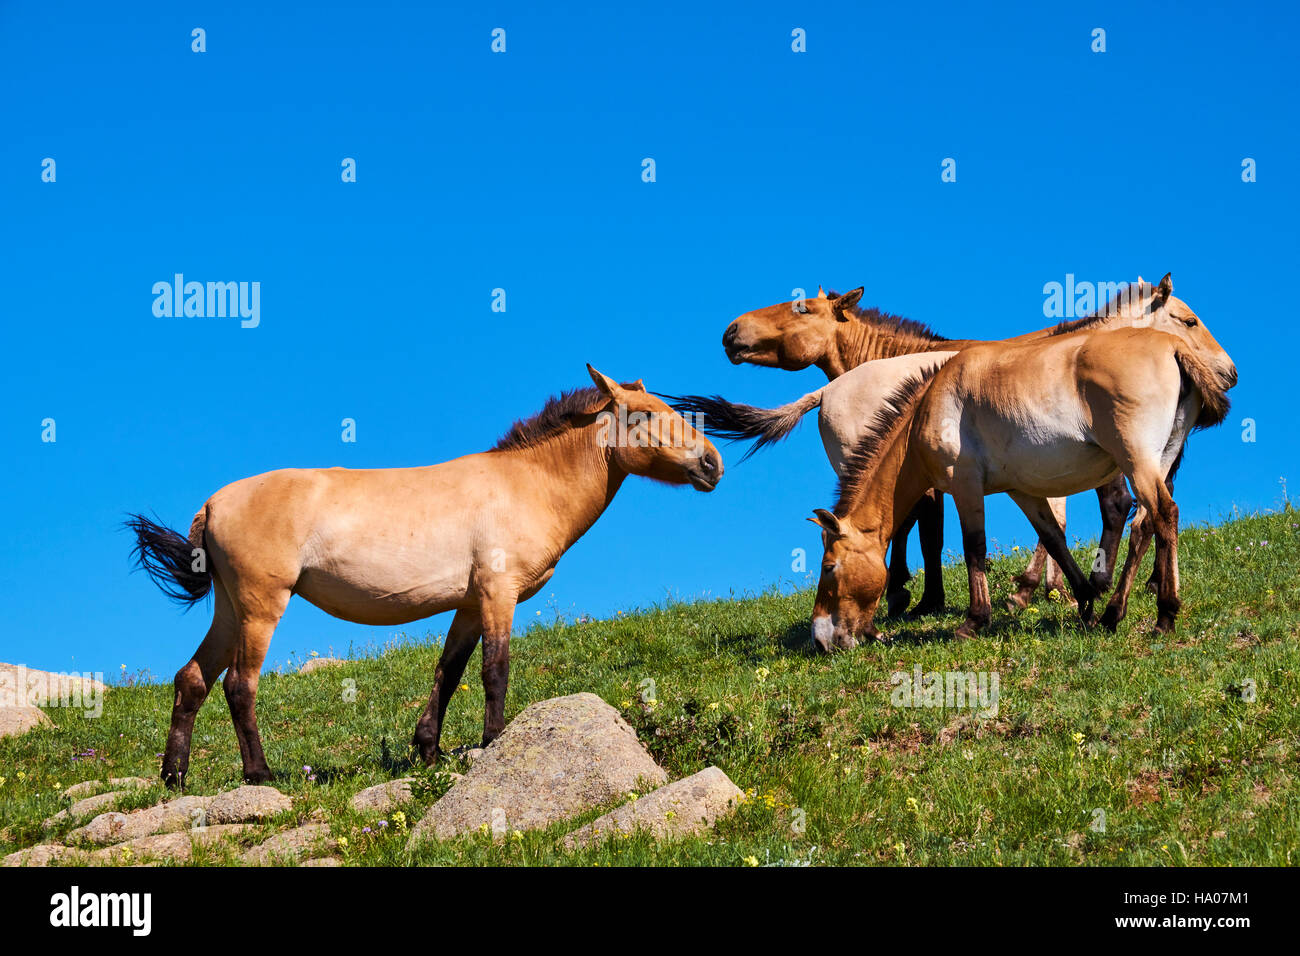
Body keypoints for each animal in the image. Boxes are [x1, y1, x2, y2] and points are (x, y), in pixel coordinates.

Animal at [127, 366, 724, 787]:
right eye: (642, 415)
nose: (712, 464)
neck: (526, 483)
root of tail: (212, 503)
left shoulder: (469, 603)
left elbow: (449, 672)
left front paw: (429, 750)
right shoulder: (498, 595)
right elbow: (494, 671)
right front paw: (494, 741)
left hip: (230, 607)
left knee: (192, 679)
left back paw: (174, 777)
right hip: (260, 605)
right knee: (239, 685)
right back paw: (259, 774)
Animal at [806, 298, 1236, 650]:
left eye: (829, 568)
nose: (822, 639)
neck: (933, 402)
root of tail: (1174, 347)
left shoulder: (965, 485)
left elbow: (974, 548)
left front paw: (974, 621)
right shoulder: (1022, 491)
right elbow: (1054, 539)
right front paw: (1084, 603)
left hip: (1137, 462)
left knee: (1163, 515)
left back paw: (1164, 615)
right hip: (1157, 463)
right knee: (1145, 524)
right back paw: (1113, 613)